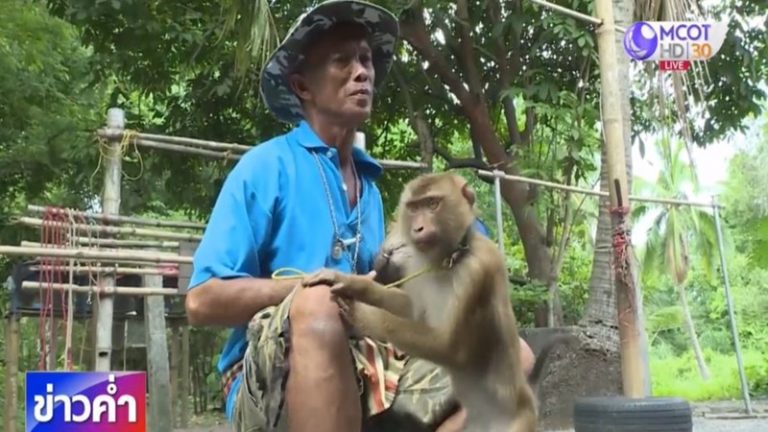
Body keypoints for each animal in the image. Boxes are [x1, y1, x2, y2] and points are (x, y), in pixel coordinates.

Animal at [302, 172, 540, 432]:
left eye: (433, 204)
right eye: (414, 208)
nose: (418, 228)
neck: (450, 258)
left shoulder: (478, 271)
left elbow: (450, 348)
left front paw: (363, 315)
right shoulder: (416, 265)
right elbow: (411, 310)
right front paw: (351, 282)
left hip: (515, 423)